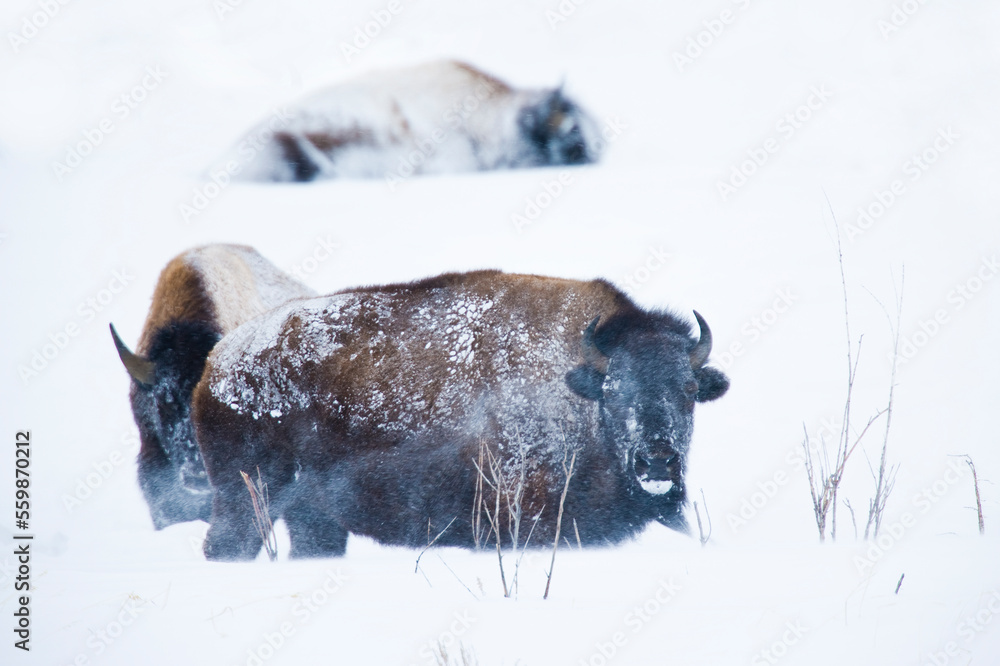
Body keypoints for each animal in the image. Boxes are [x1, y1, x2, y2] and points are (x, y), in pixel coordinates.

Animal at [191, 270, 729, 560]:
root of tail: (218, 365)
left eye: (687, 390)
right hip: (248, 497)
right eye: (614, 392)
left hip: (314, 517)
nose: (657, 462)